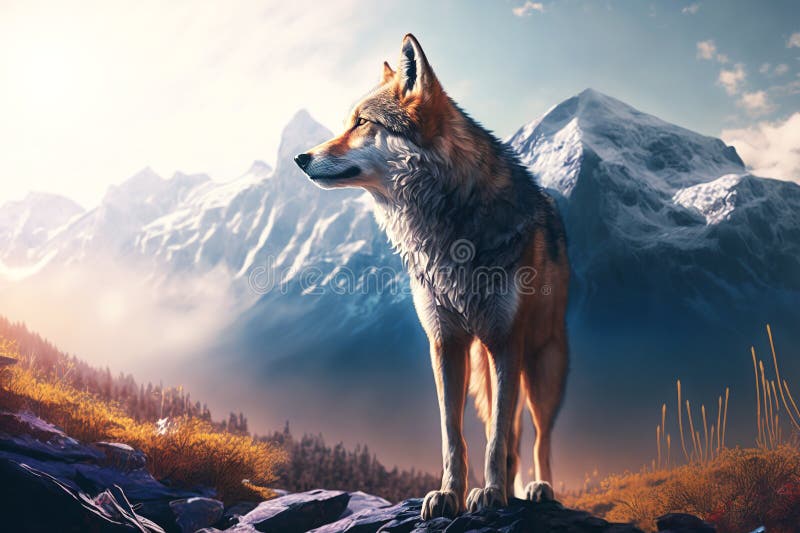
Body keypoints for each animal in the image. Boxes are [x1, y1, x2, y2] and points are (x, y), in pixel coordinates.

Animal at [295, 34, 569, 519]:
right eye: (348, 122)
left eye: (361, 122)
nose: (300, 157)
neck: (445, 227)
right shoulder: (444, 343)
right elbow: (452, 437)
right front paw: (450, 495)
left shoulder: (506, 340)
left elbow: (497, 438)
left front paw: (490, 494)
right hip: (484, 371)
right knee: (510, 433)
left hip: (541, 365)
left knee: (538, 437)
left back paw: (539, 488)